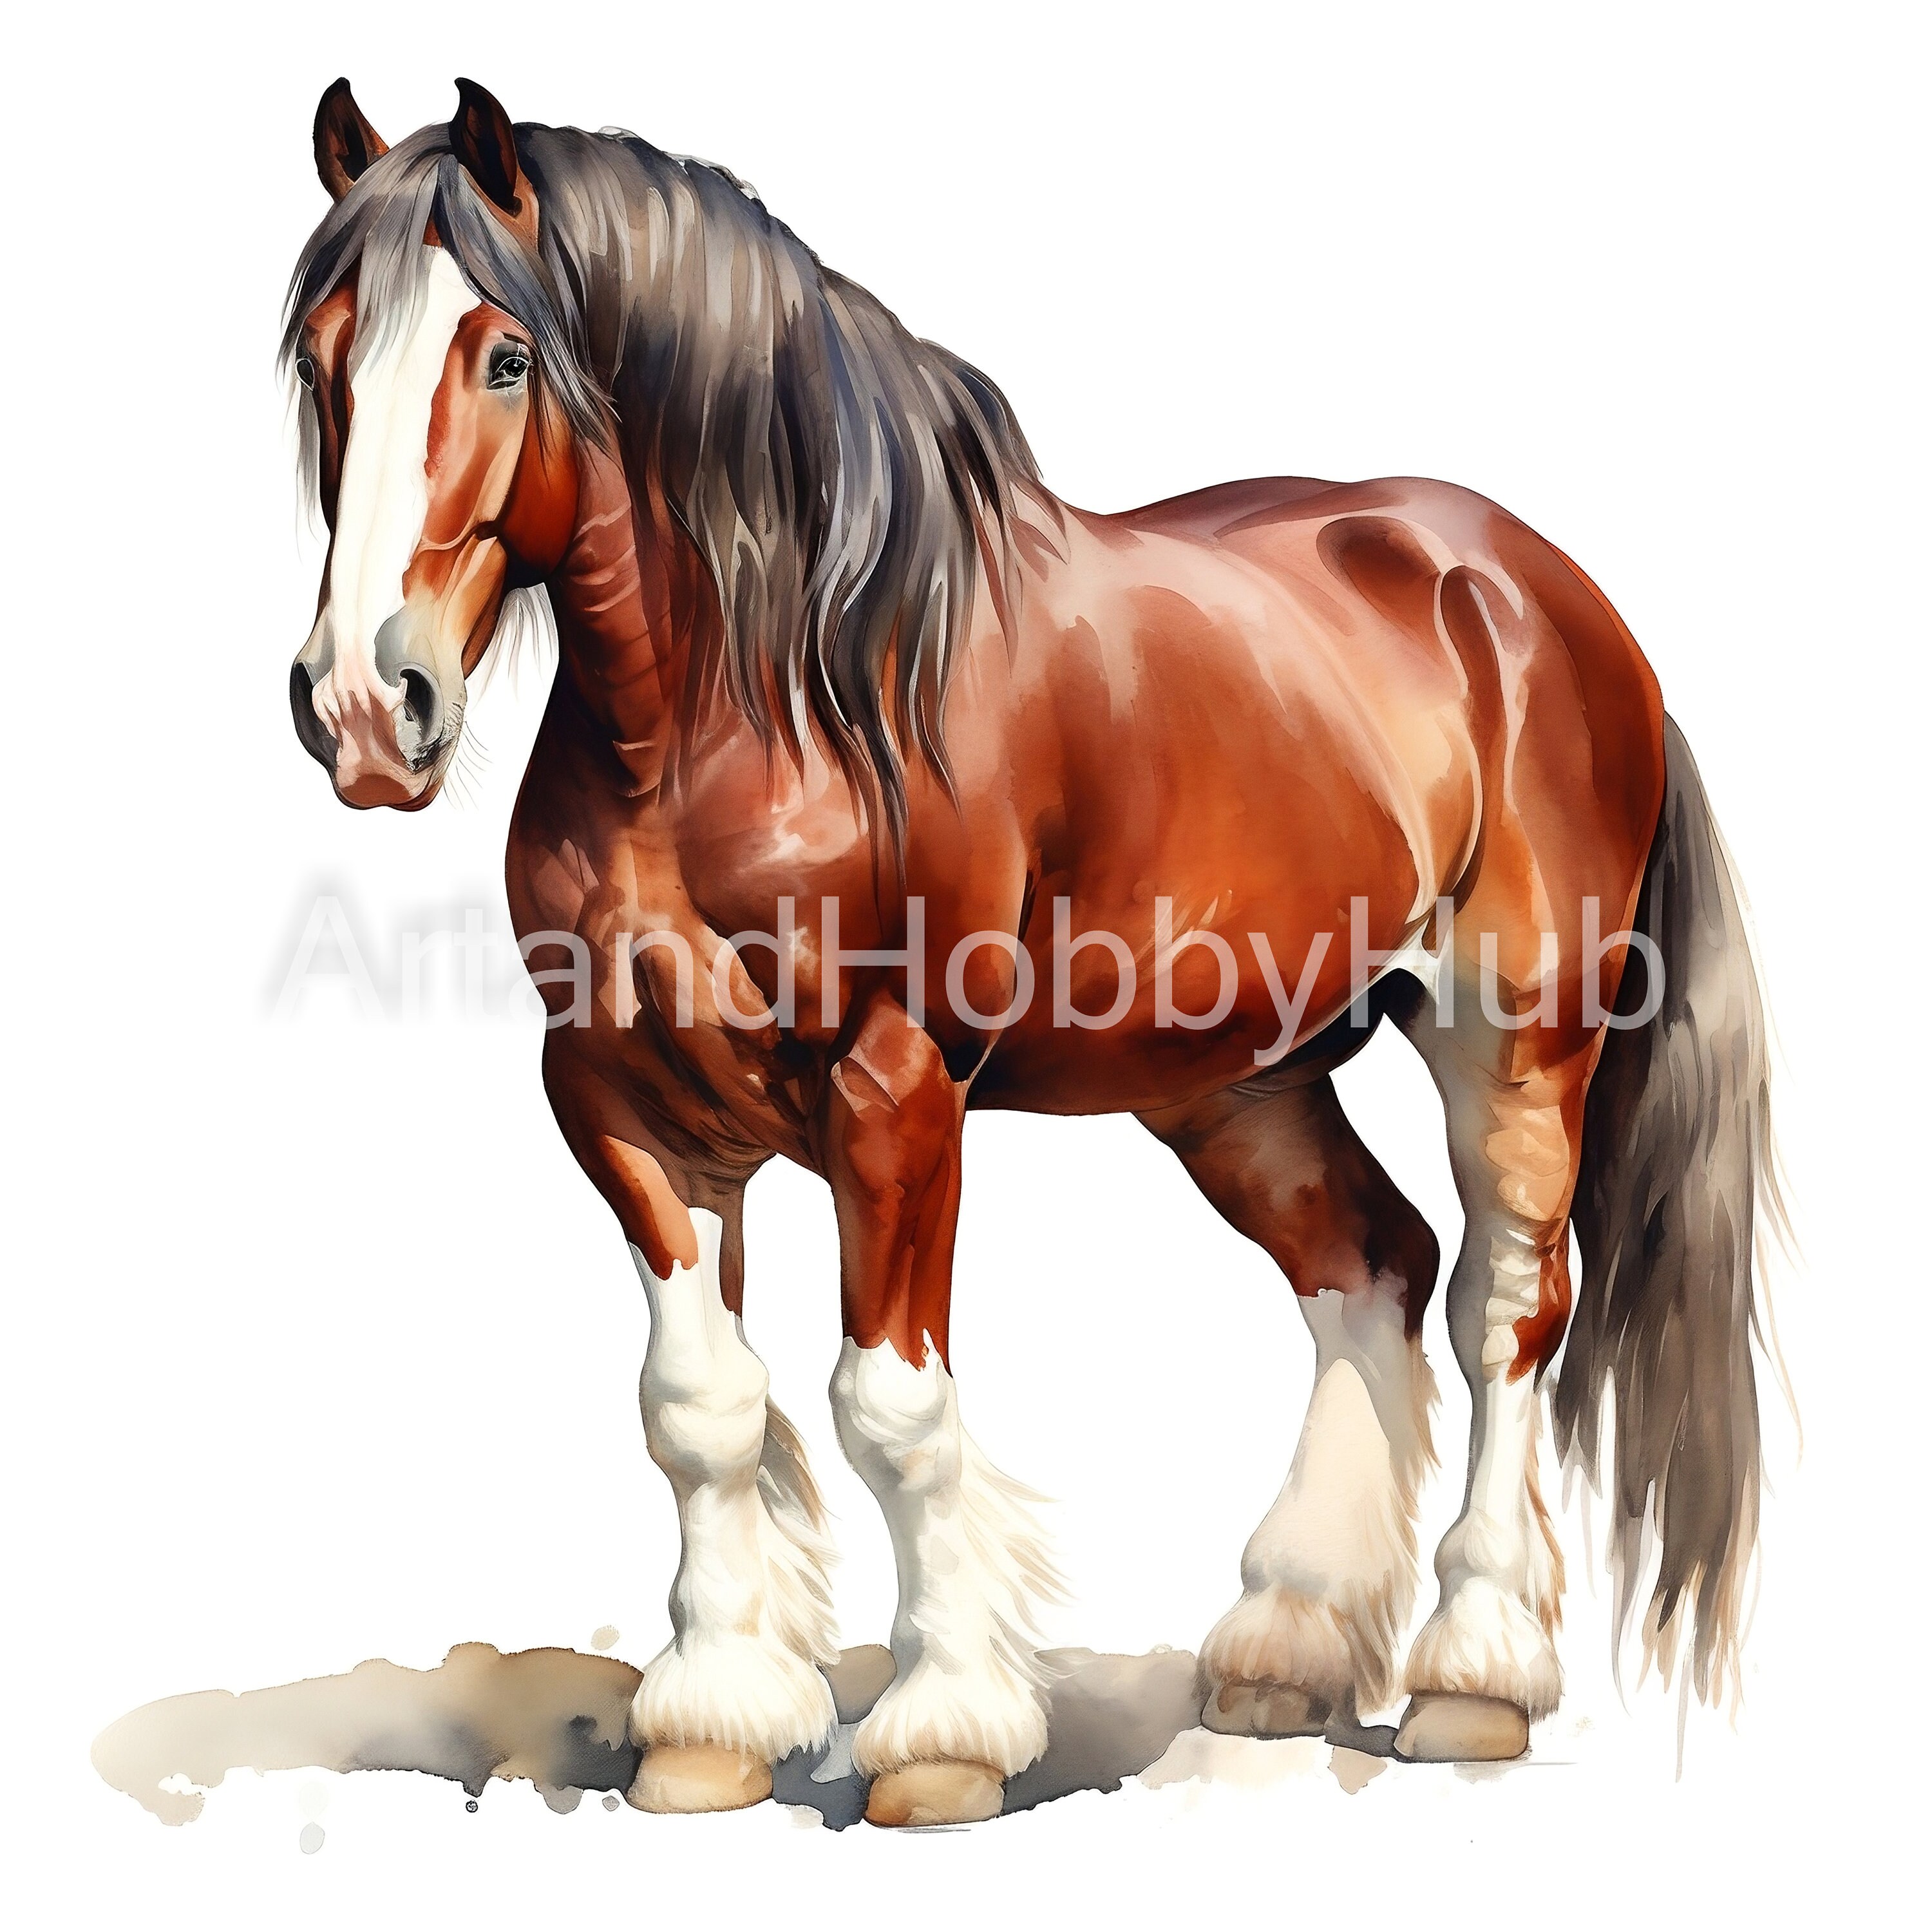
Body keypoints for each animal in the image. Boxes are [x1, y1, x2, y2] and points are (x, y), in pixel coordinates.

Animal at [284, 78, 1779, 1826]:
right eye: (322, 361)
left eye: (505, 354)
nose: (365, 703)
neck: (769, 696)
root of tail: (1536, 590)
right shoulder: (618, 1096)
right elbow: (699, 1409)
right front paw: (711, 1721)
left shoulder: (894, 1093)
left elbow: (889, 1405)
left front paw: (939, 1736)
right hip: (1238, 1077)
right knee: (1370, 1266)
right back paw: (1283, 1646)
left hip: (1518, 1035)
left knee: (1504, 1305)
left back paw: (1471, 1674)